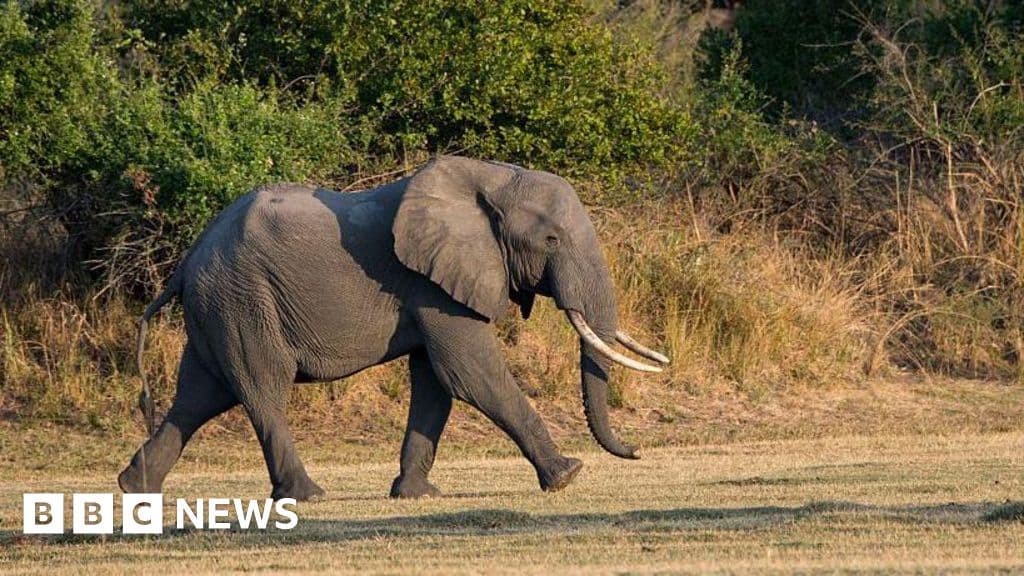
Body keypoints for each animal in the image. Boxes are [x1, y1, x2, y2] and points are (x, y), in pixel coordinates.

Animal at [119, 155, 669, 501]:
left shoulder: (434, 286)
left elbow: (436, 382)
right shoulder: (431, 285)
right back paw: (308, 496)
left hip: (220, 308)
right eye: (551, 240)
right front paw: (568, 476)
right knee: (262, 391)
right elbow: (470, 373)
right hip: (242, 302)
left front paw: (417, 495)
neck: (491, 178)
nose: (638, 451)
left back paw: (135, 489)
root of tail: (187, 262)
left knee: (198, 397)